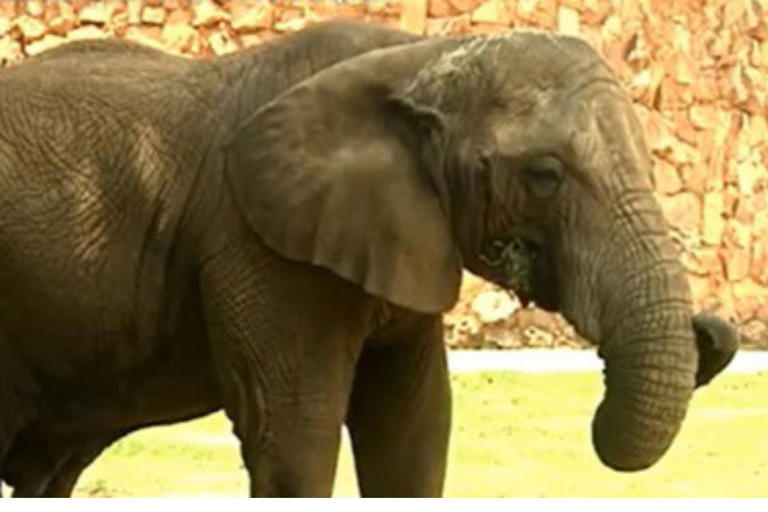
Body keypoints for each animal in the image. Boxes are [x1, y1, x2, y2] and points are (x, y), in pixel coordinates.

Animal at [0, 20, 738, 498]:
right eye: (545, 175)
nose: (711, 329)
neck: (420, 57)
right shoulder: (259, 245)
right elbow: (296, 435)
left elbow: (413, 429)